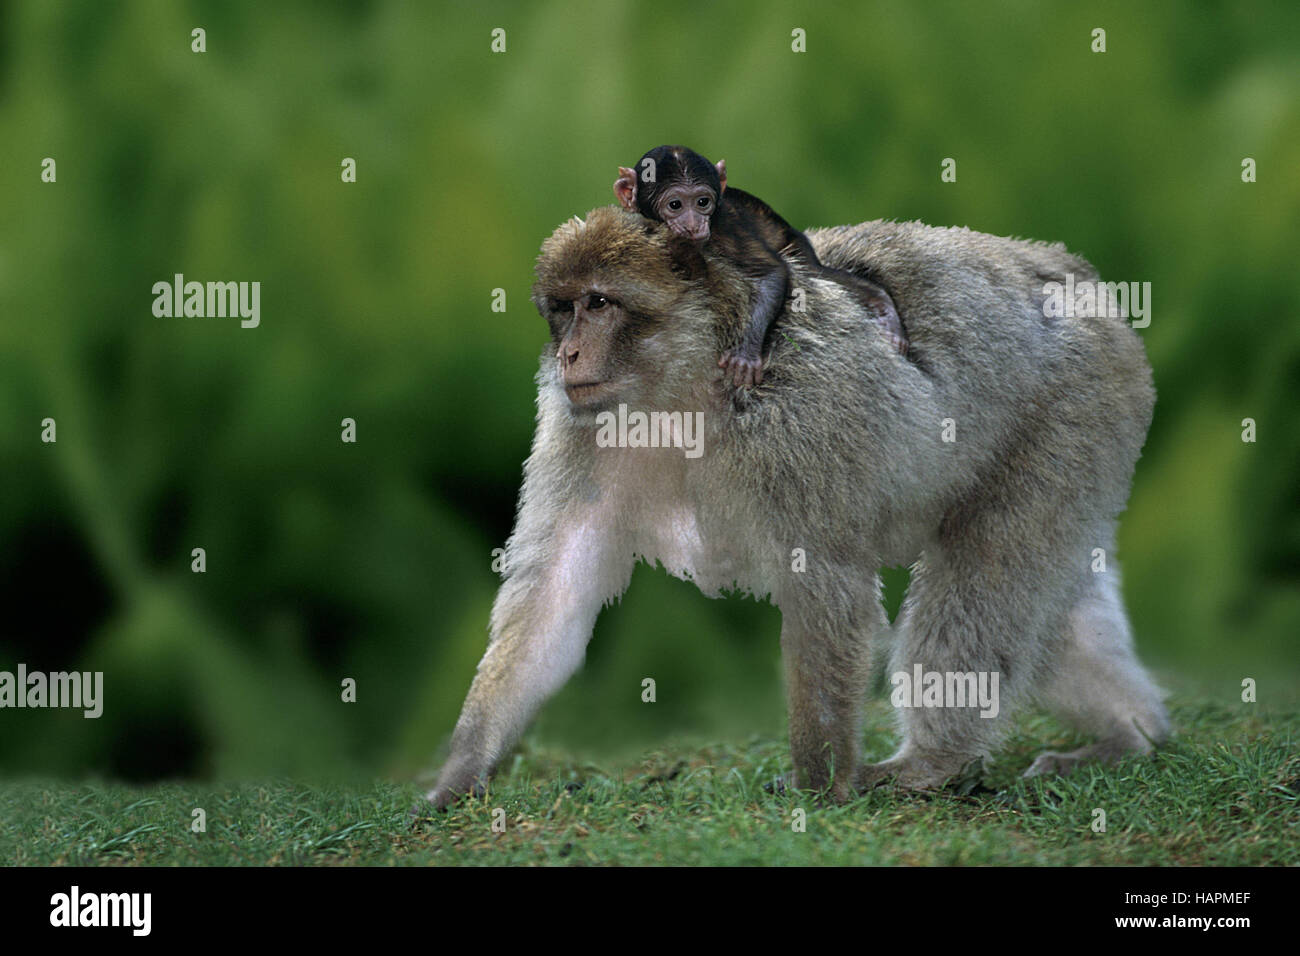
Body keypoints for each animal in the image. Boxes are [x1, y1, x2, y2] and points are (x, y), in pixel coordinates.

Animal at [416, 205, 1168, 813]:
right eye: (561, 307)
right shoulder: (580, 428)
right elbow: (555, 595)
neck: (684, 387)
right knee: (1048, 605)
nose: (568, 353)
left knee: (986, 578)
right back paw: (1134, 734)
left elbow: (824, 593)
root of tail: (1069, 271)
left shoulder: (799, 422)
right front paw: (458, 776)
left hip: (1077, 407)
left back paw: (935, 762)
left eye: (598, 304)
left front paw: (818, 785)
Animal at [613, 145, 908, 387]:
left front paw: (745, 354)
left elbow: (772, 273)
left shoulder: (725, 227)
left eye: (702, 202)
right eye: (675, 204)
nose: (694, 224)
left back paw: (883, 307)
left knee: (815, 272)